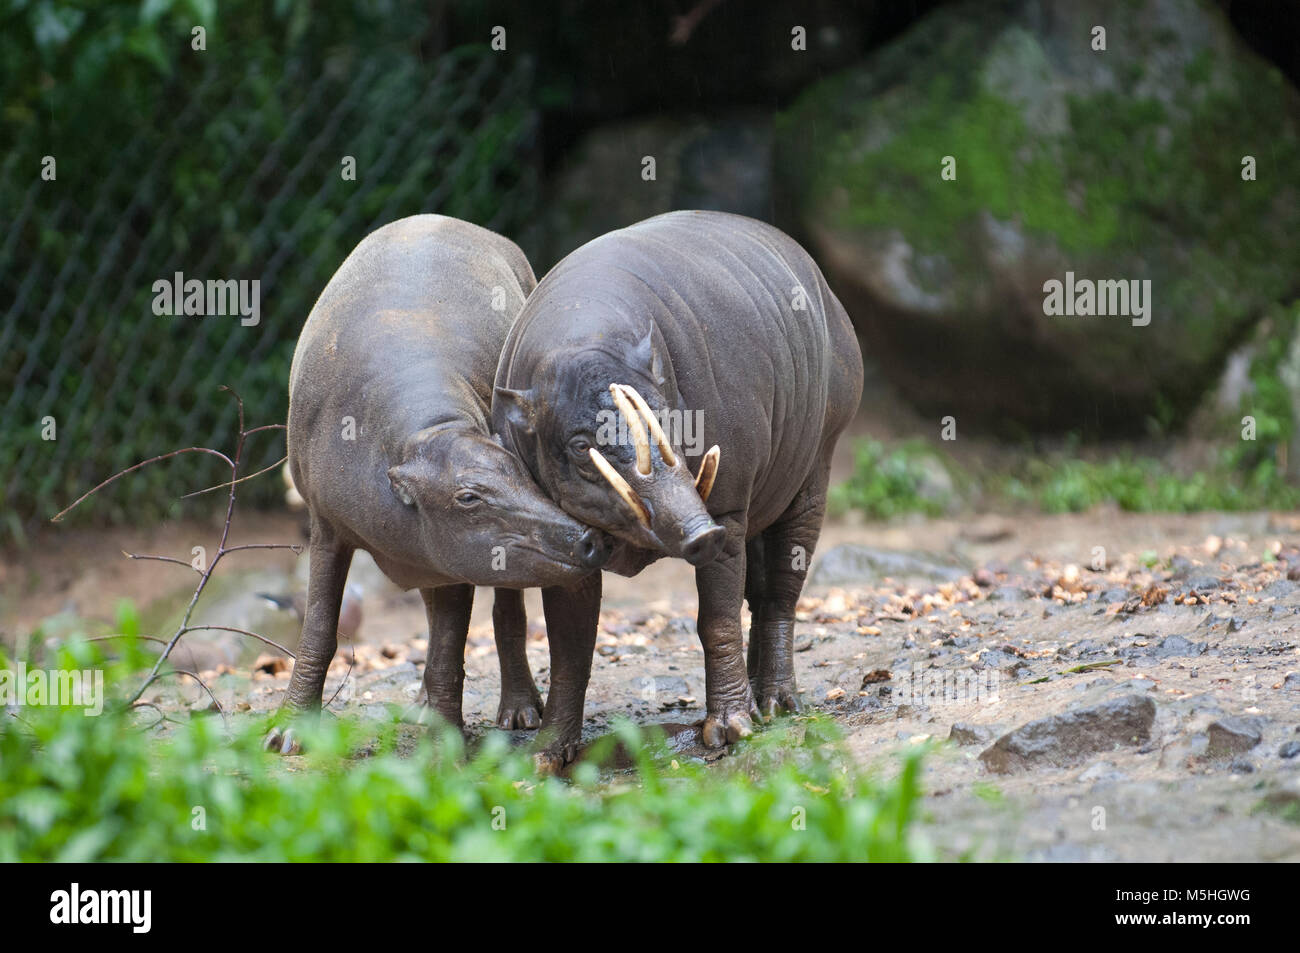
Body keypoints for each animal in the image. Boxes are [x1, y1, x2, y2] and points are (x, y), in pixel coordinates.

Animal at [264, 215, 612, 754]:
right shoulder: (329, 527)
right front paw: (287, 733)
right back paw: (423, 704)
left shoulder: (452, 557)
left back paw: (519, 710)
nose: (588, 536)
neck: (432, 434)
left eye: (521, 470)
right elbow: (318, 626)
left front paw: (445, 748)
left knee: (505, 614)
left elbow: (452, 646)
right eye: (468, 497)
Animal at [494, 211, 863, 767]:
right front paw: (545, 754)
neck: (588, 338)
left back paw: (775, 703)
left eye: (669, 420)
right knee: (758, 593)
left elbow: (716, 619)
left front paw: (731, 729)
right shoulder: (563, 539)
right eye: (581, 447)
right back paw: (759, 697)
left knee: (781, 589)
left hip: (819, 455)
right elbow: (570, 649)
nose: (699, 533)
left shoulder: (727, 507)